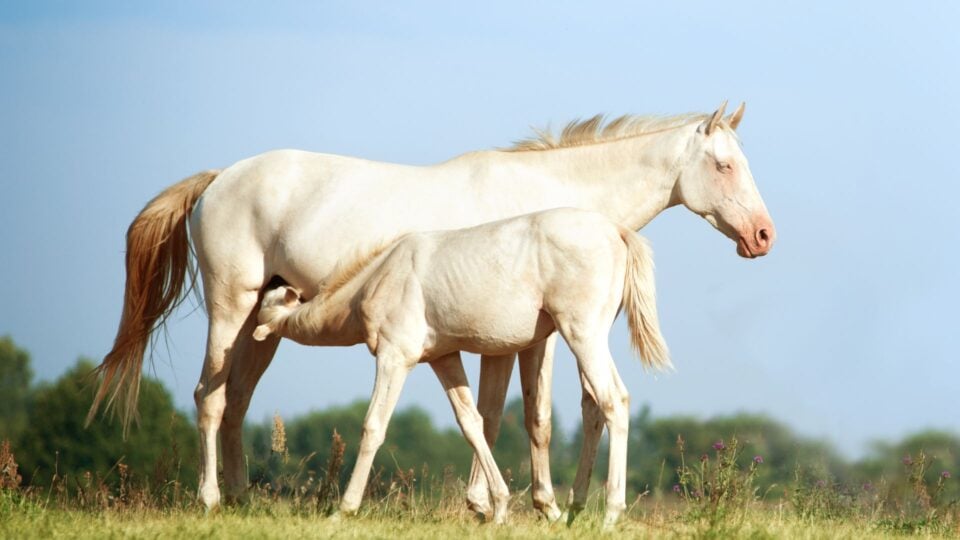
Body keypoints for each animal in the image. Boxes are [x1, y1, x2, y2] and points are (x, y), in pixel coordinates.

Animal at [250, 208, 670, 526]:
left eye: (270, 300)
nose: (268, 283)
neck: (378, 277)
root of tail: (616, 231)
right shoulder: (443, 358)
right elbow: (473, 423)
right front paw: (497, 507)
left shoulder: (394, 357)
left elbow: (373, 426)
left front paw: (343, 510)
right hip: (587, 339)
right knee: (599, 405)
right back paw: (572, 512)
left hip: (581, 334)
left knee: (613, 401)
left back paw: (610, 514)